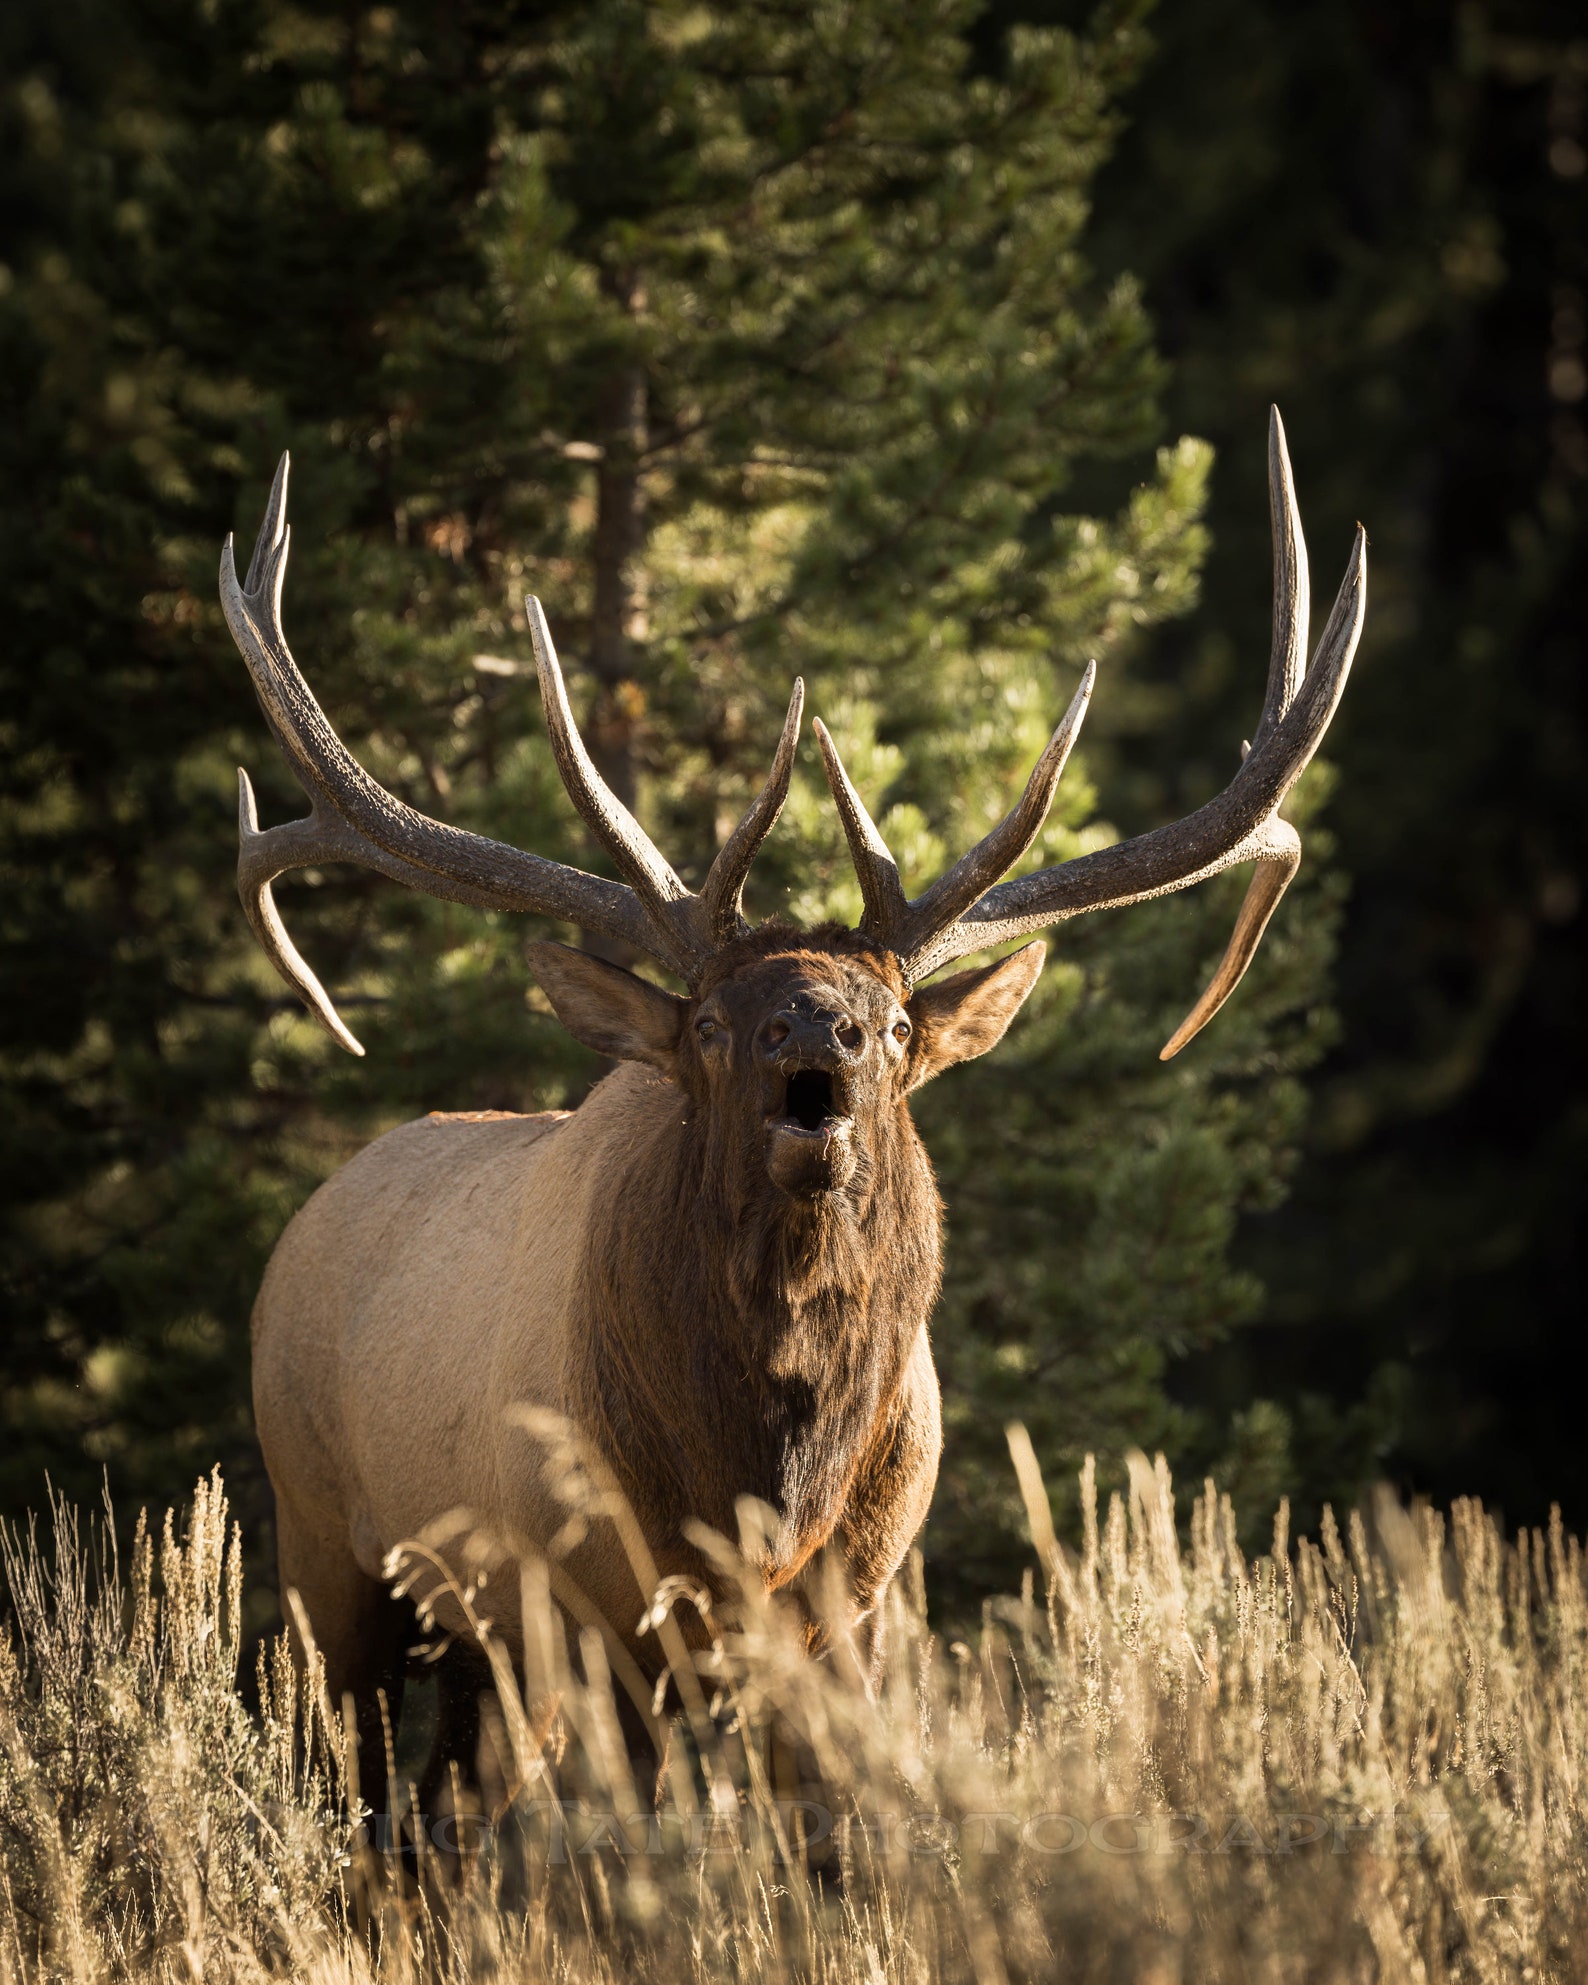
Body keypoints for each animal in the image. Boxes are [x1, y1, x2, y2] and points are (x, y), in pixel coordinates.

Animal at [221, 409, 1364, 1805]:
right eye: (712, 1021)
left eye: (896, 1023)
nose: (814, 1029)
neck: (768, 1479)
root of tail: (307, 1218)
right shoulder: (602, 1596)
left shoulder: (846, 1610)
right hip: (325, 1539)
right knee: (369, 1779)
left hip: (461, 1622)